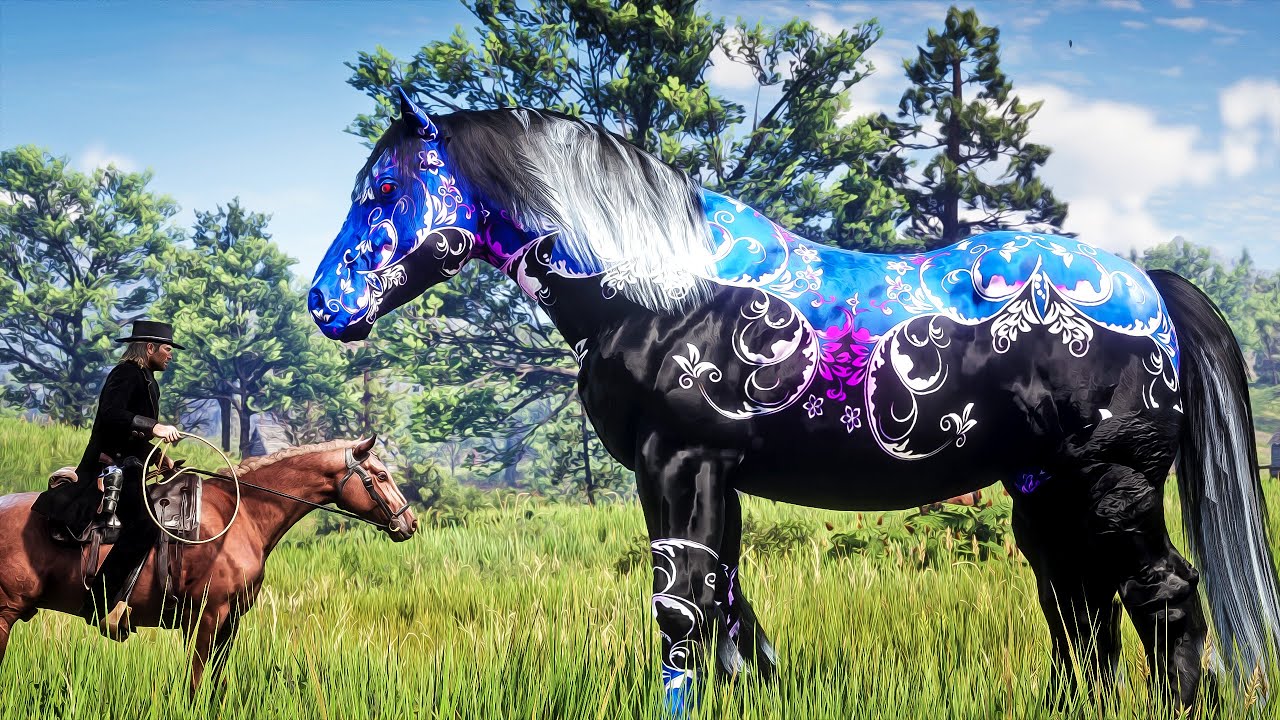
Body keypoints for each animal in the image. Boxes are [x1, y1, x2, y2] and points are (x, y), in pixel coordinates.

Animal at [0, 436, 417, 696]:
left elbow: (214, 685)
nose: (409, 523)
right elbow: (196, 685)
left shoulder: (228, 623)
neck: (242, 513)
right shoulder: (207, 616)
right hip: (5, 613)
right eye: (381, 475)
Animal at [307, 89, 1280, 713]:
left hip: (1113, 488)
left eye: (385, 191)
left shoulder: (681, 465)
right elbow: (730, 603)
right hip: (1045, 494)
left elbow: (682, 603)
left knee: (1161, 593)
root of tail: (1151, 289)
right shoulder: (712, 477)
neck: (661, 287)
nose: (325, 306)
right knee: (1079, 613)